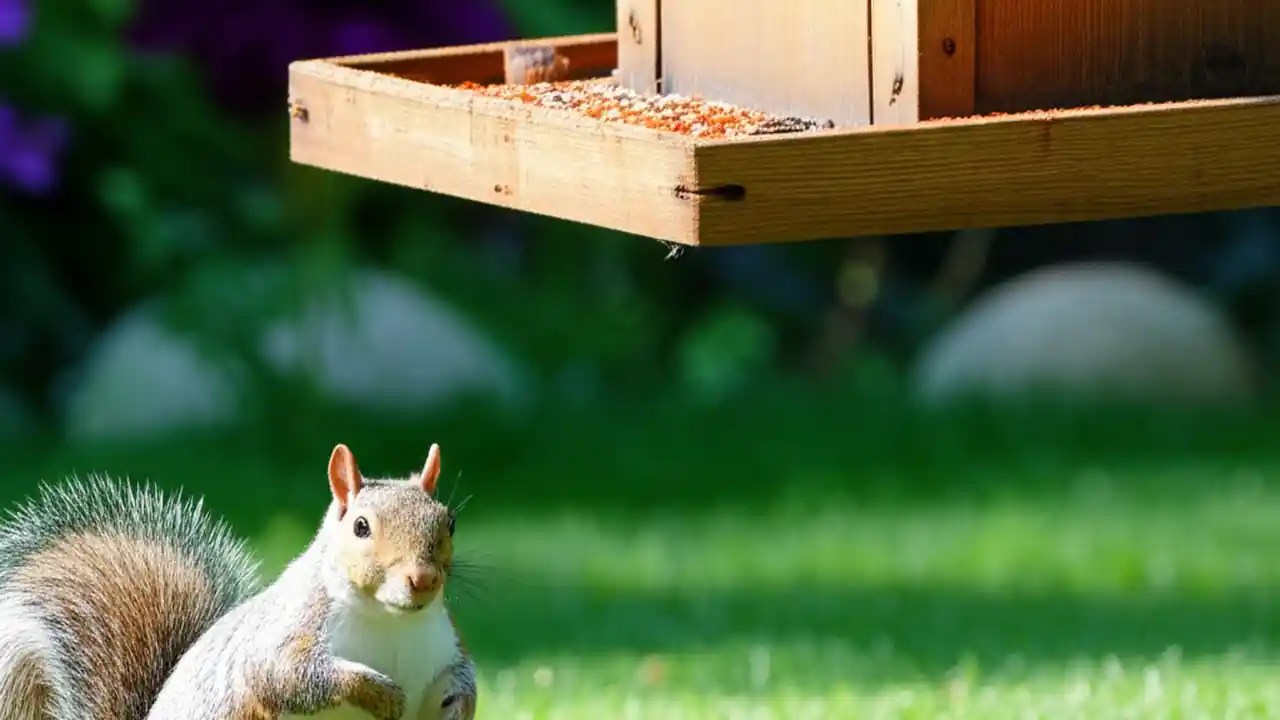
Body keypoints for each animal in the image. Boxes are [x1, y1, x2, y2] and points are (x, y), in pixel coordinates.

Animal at [0, 442, 476, 720]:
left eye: (449, 522)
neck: (390, 621)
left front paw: (460, 706)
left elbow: (460, 681)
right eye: (361, 527)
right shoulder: (290, 632)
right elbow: (288, 676)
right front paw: (380, 693)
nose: (422, 579)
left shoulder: (448, 648)